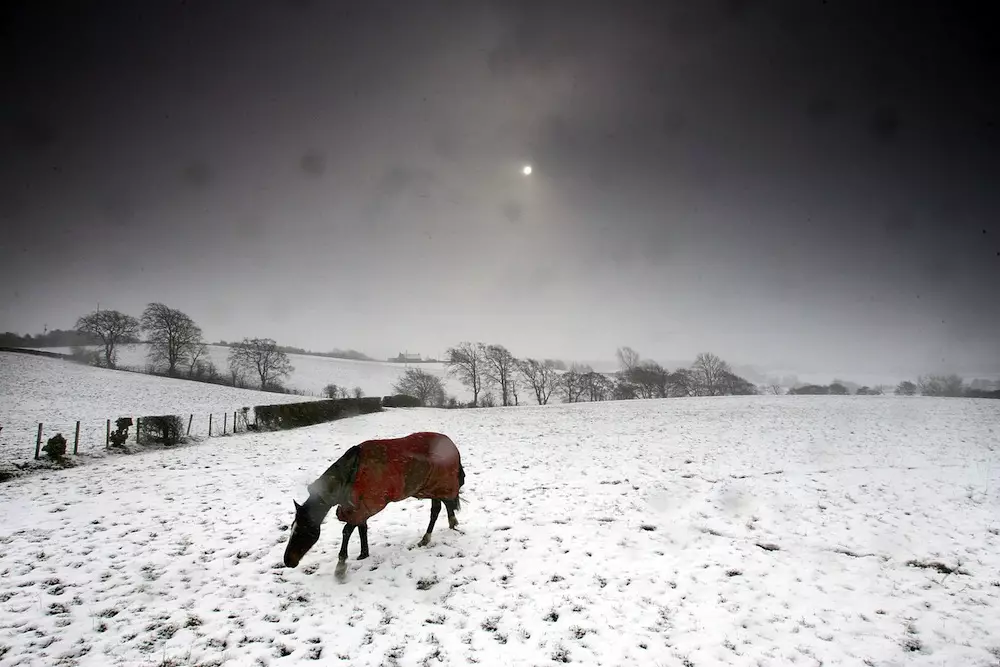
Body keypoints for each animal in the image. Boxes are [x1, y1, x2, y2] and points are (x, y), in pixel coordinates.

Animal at [284, 434, 466, 568]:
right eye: (292, 528)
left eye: (303, 531)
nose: (287, 561)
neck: (352, 472)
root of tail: (452, 446)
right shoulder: (359, 506)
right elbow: (361, 528)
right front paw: (363, 554)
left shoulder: (368, 505)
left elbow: (347, 530)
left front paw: (341, 564)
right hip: (432, 487)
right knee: (444, 505)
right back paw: (450, 525)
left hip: (439, 484)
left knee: (437, 509)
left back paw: (427, 537)